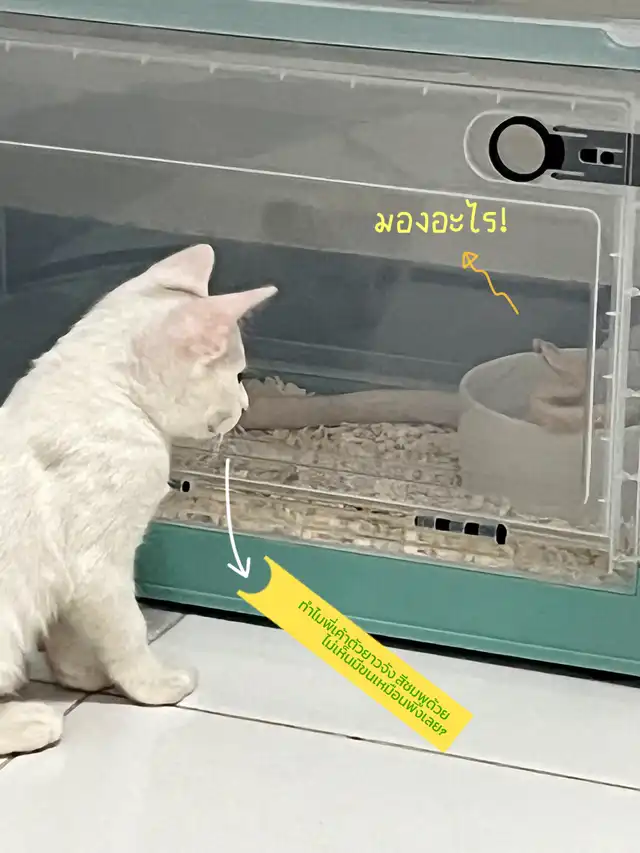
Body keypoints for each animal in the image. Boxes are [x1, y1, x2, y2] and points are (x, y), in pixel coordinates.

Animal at [0, 243, 276, 756]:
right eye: (238, 375)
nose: (246, 405)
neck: (116, 398)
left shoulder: (67, 582)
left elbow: (69, 635)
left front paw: (82, 676)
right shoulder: (96, 568)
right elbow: (129, 630)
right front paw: (152, 685)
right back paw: (30, 721)